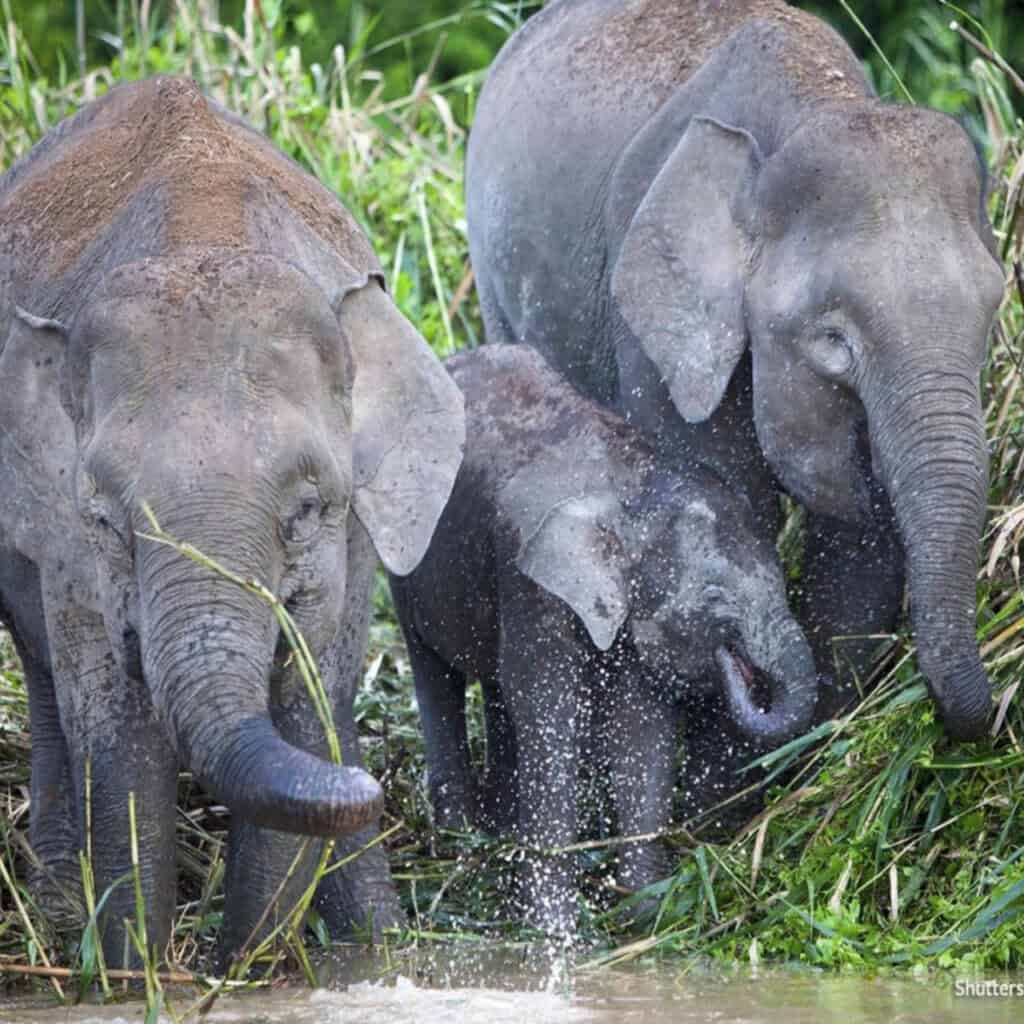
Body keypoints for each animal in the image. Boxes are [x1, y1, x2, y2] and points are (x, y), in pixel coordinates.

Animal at [0, 75, 464, 966]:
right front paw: (134, 974)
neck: (200, 234)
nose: (378, 786)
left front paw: (266, 970)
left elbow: (308, 701)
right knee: (44, 682)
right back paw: (60, 917)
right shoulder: (61, 536)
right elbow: (114, 726)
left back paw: (375, 941)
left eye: (308, 510)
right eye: (104, 520)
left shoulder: (353, 536)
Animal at [389, 344, 818, 933]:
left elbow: (641, 726)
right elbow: (549, 712)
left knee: (496, 690)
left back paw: (497, 832)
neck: (633, 491)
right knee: (435, 674)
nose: (740, 669)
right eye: (715, 601)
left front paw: (643, 912)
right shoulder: (533, 583)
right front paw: (556, 928)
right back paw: (460, 843)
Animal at [465, 1, 1004, 826]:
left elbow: (859, 556)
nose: (984, 717)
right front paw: (710, 803)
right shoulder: (655, 328)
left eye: (994, 312)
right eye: (833, 339)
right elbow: (723, 502)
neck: (814, 104)